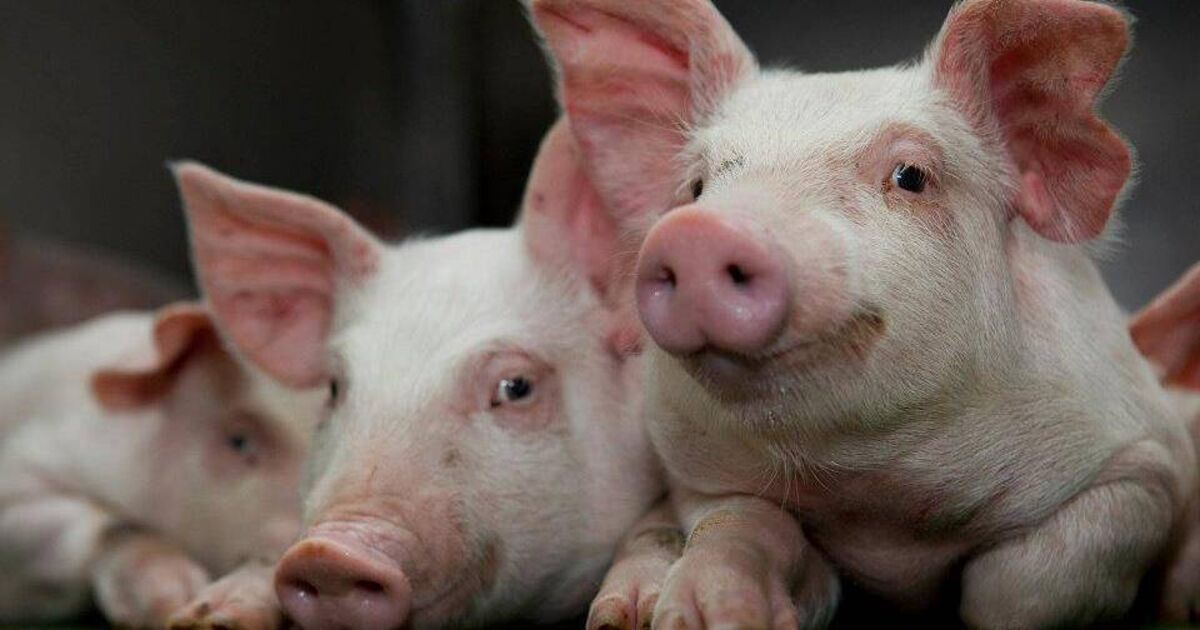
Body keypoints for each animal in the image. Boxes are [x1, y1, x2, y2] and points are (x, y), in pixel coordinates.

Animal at [531, 0, 1196, 626]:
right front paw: (706, 613)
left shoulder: (1139, 465)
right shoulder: (702, 476)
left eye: (911, 176)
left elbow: (1021, 586)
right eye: (696, 186)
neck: (878, 502)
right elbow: (738, 527)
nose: (700, 231)